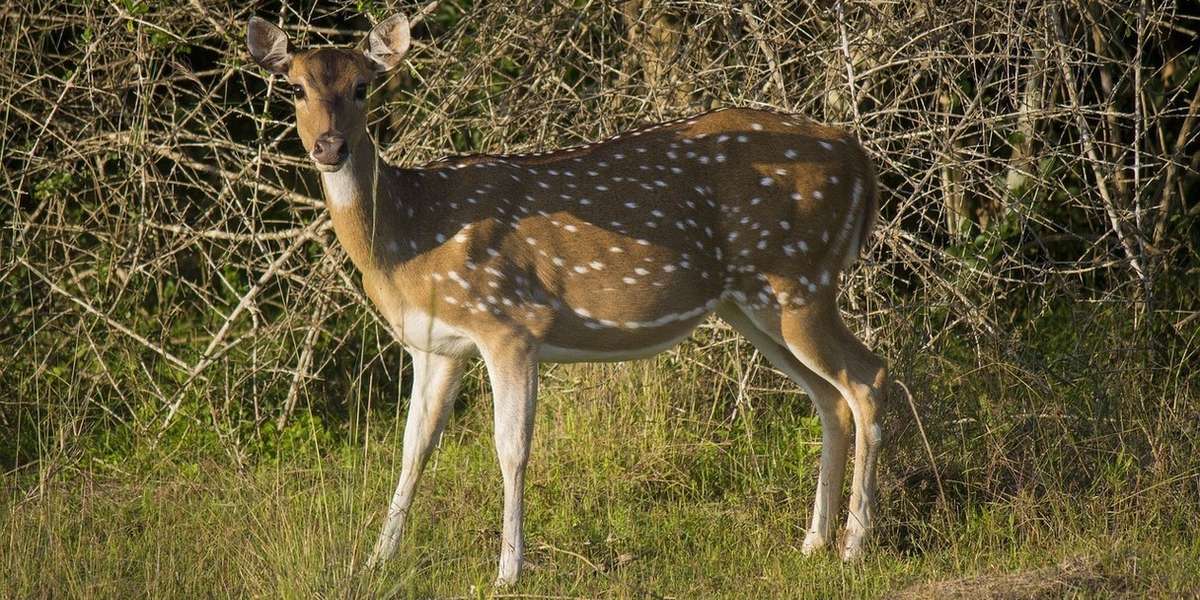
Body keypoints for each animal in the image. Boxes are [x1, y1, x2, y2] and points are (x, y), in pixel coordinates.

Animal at [246, 12, 887, 585]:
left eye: (362, 86)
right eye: (295, 87)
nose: (330, 146)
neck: (409, 242)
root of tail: (861, 159)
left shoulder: (509, 323)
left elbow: (511, 448)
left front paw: (508, 572)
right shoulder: (436, 345)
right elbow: (413, 449)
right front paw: (377, 561)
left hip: (798, 277)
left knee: (868, 378)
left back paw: (854, 547)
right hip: (754, 305)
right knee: (829, 399)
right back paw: (812, 543)